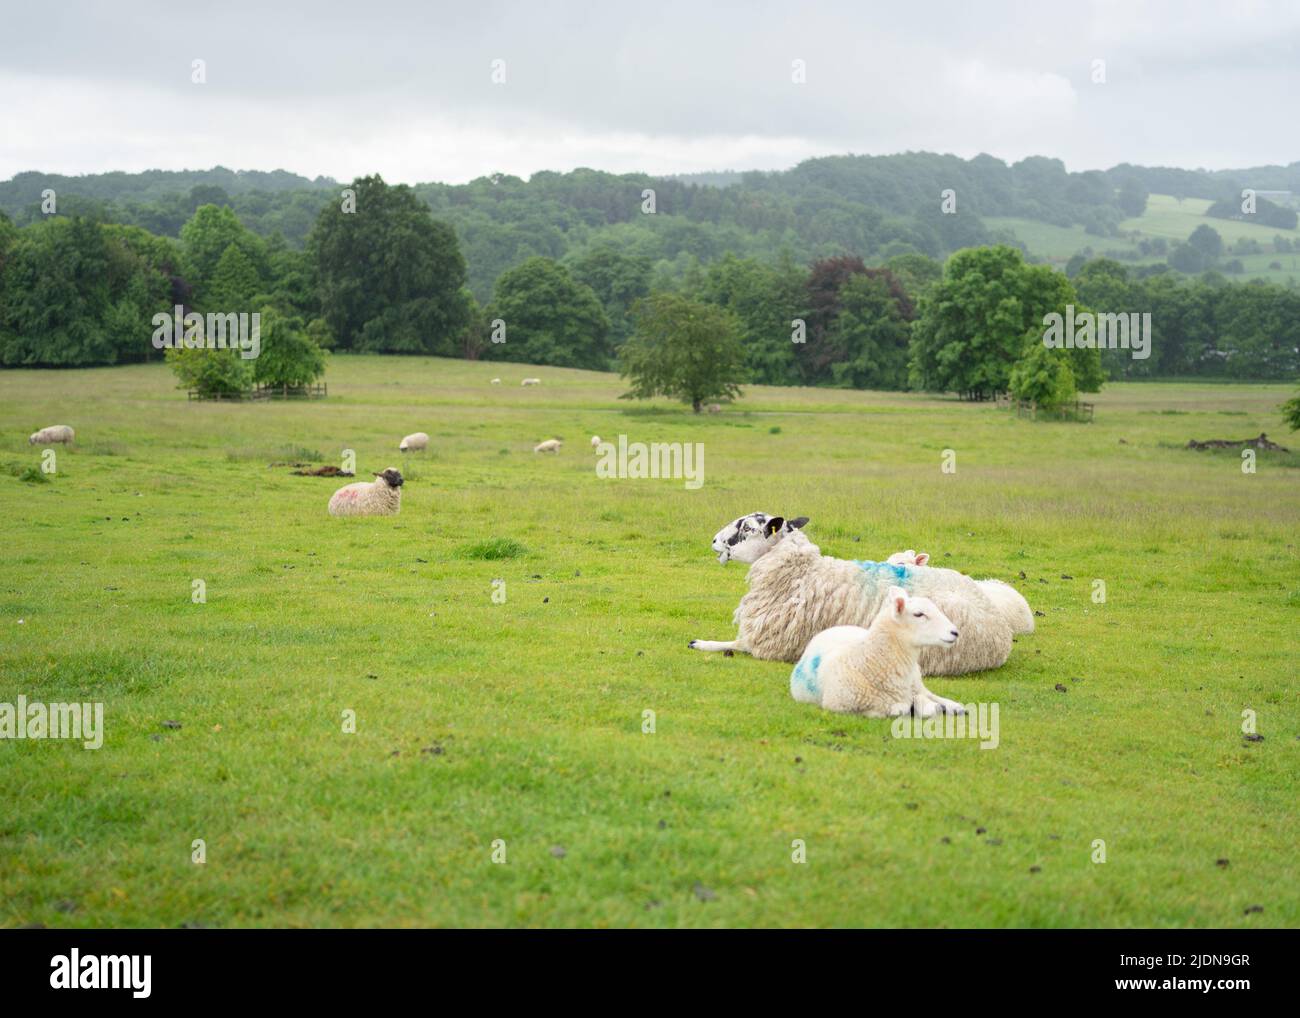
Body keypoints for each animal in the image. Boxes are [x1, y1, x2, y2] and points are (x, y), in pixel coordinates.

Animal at [688, 512, 1016, 675]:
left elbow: (735, 643)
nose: (714, 540)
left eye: (745, 527)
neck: (802, 572)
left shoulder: (770, 642)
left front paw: (701, 643)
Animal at [791, 587, 965, 717]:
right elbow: (897, 709)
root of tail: (834, 628)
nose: (955, 632)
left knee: (929, 693)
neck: (868, 660)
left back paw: (955, 706)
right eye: (918, 614)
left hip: (915, 680)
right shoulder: (839, 706)